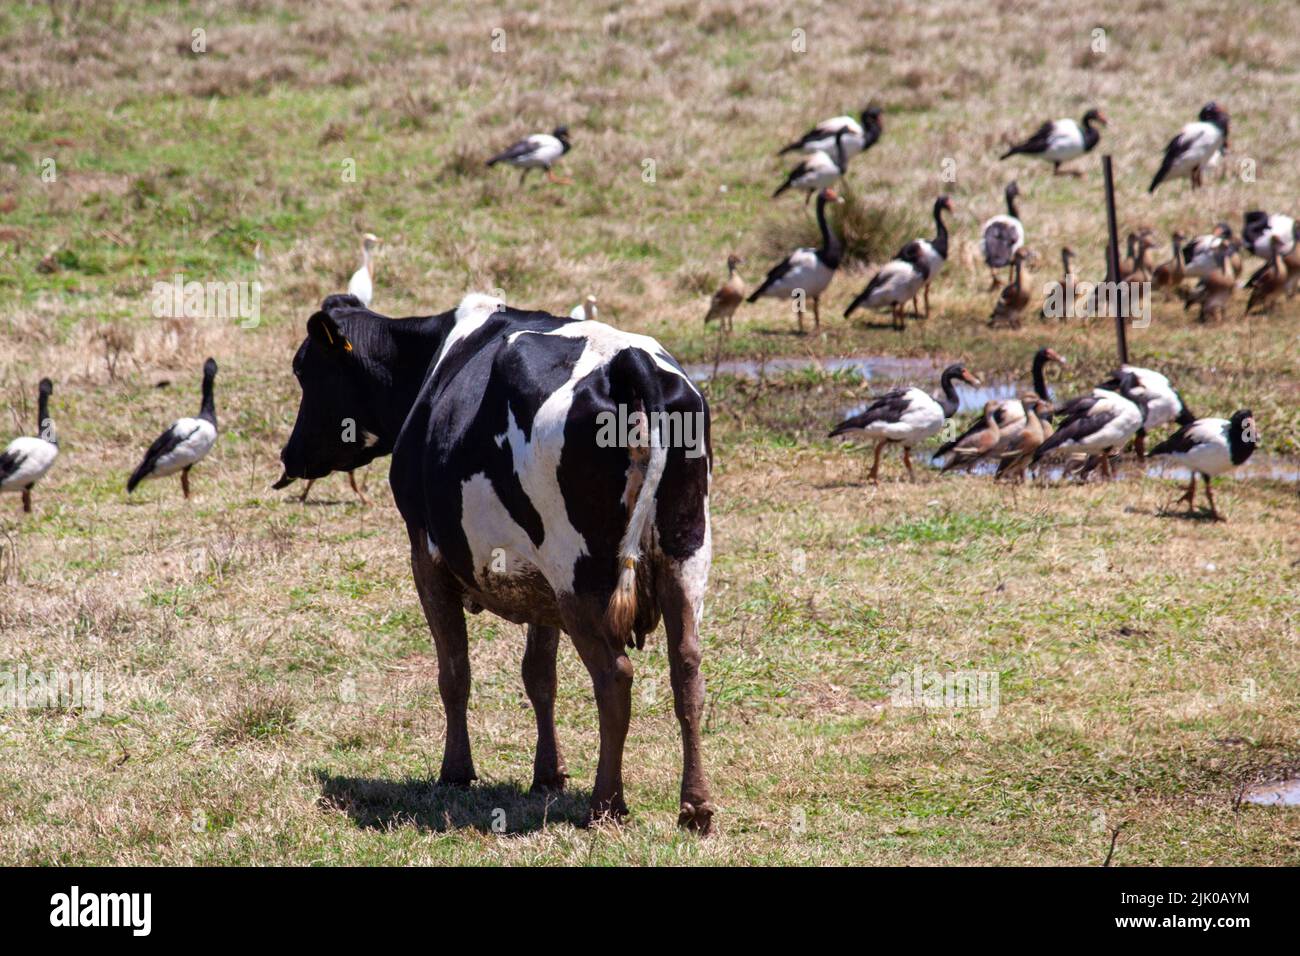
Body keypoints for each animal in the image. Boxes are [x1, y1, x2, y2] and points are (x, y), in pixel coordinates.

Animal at [276, 293, 716, 831]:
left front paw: (456, 770)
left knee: (614, 677)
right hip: (682, 557)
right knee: (687, 669)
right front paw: (548, 773)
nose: (288, 455)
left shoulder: (426, 555)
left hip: (580, 575)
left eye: (305, 370)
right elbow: (539, 676)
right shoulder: (539, 583)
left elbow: (454, 672)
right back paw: (694, 805)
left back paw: (605, 804)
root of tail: (629, 362)